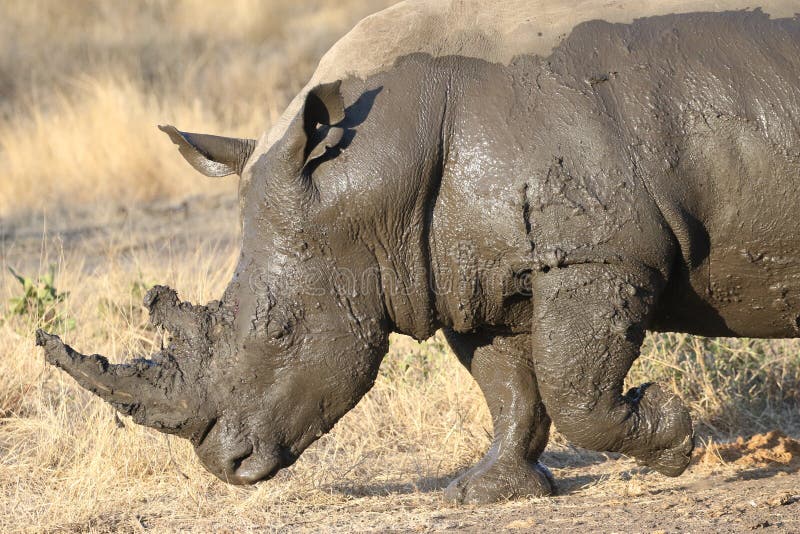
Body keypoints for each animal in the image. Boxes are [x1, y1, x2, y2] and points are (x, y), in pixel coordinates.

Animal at [37, 0, 800, 504]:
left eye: (281, 332)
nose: (226, 465)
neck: (376, 167)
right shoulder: (463, 270)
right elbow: (510, 387)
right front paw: (486, 491)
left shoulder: (596, 255)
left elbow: (574, 388)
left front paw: (671, 434)